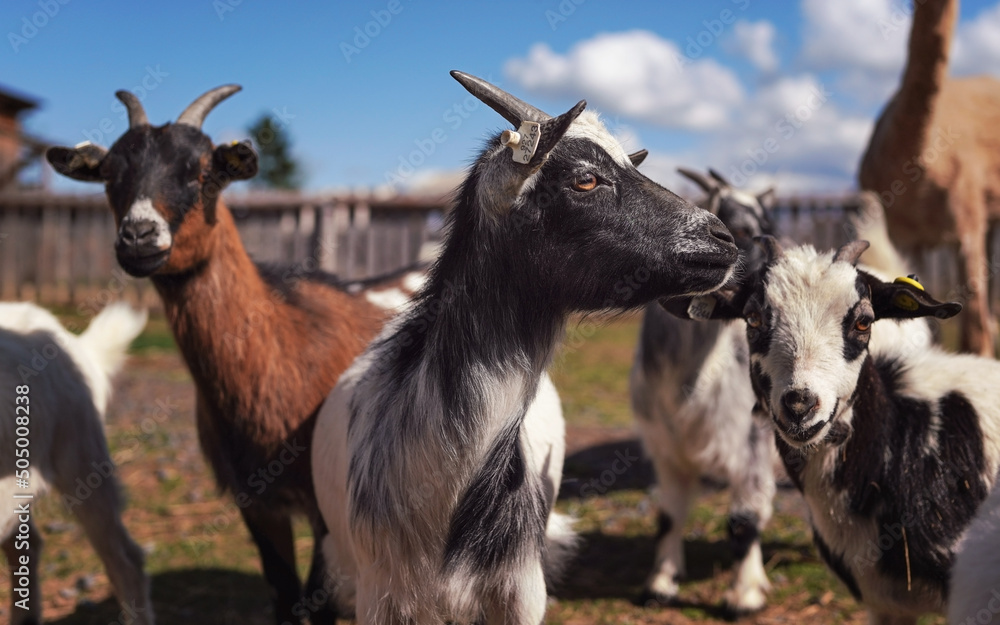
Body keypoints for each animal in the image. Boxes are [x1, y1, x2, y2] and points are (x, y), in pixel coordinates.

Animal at [45, 86, 424, 624]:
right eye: (111, 176)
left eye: (204, 172)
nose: (138, 236)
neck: (284, 348)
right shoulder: (256, 502)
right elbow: (284, 595)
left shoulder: (327, 505)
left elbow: (318, 602)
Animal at [630, 167, 777, 614]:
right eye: (740, 231)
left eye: (770, 226)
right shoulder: (667, 450)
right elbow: (668, 516)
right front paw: (660, 583)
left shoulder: (749, 443)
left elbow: (743, 520)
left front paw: (744, 596)